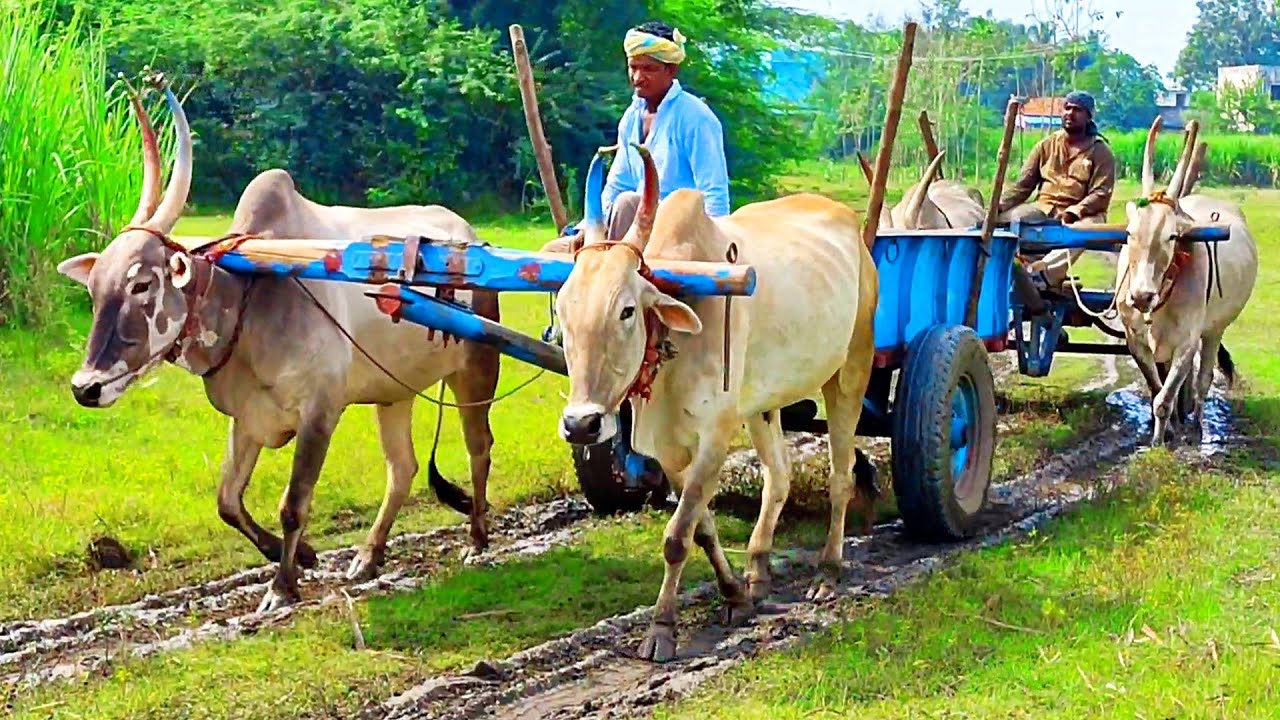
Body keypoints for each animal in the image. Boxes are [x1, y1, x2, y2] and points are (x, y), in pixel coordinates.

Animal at [56, 73, 501, 613]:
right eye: (94, 288)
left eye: (142, 284)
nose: (86, 387)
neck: (249, 300)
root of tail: (468, 233)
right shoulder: (246, 418)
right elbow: (227, 501)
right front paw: (301, 556)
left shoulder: (319, 412)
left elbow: (293, 504)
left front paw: (282, 584)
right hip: (394, 391)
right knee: (403, 467)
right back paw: (369, 555)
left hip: (476, 367)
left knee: (479, 448)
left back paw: (477, 538)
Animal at [552, 144, 879, 662]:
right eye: (563, 307)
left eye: (626, 310)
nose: (581, 424)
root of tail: (850, 224)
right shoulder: (667, 450)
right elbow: (700, 528)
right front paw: (735, 595)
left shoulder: (715, 435)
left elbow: (676, 536)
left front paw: (662, 628)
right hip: (763, 404)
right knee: (779, 476)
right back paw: (759, 569)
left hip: (850, 368)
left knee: (841, 477)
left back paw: (828, 572)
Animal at [1116, 116, 1258, 446]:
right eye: (1129, 232)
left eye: (1171, 236)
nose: (1141, 296)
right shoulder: (1135, 341)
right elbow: (1157, 390)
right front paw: (1164, 432)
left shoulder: (1186, 344)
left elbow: (1164, 399)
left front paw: (1159, 442)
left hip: (1215, 330)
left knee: (1203, 380)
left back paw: (1198, 426)